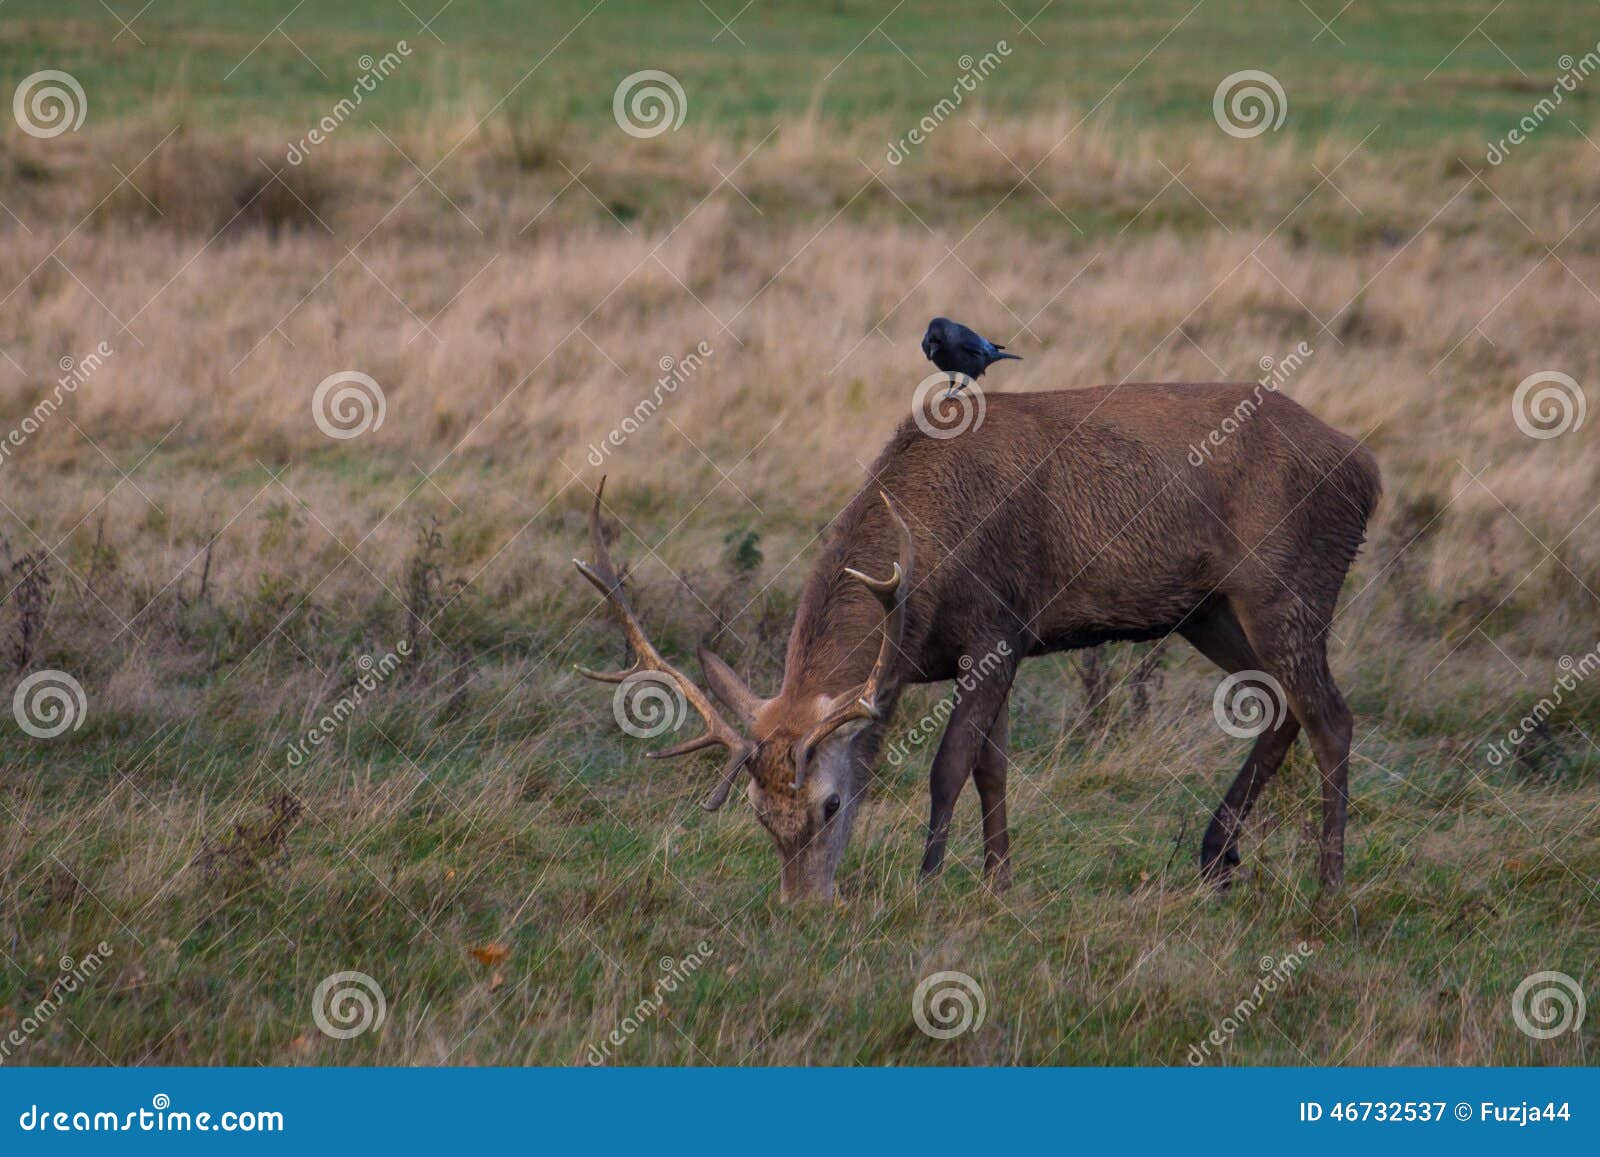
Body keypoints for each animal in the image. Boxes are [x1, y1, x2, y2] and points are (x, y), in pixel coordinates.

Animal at [574, 382, 1381, 903]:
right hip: (1208, 610)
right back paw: (1217, 857)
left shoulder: (998, 626)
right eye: (758, 816)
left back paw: (1328, 884)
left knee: (1333, 717)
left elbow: (951, 763)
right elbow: (994, 766)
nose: (803, 905)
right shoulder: (1005, 644)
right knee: (1279, 704)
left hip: (1291, 582)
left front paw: (929, 880)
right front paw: (999, 883)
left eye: (831, 805)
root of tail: (1366, 466)